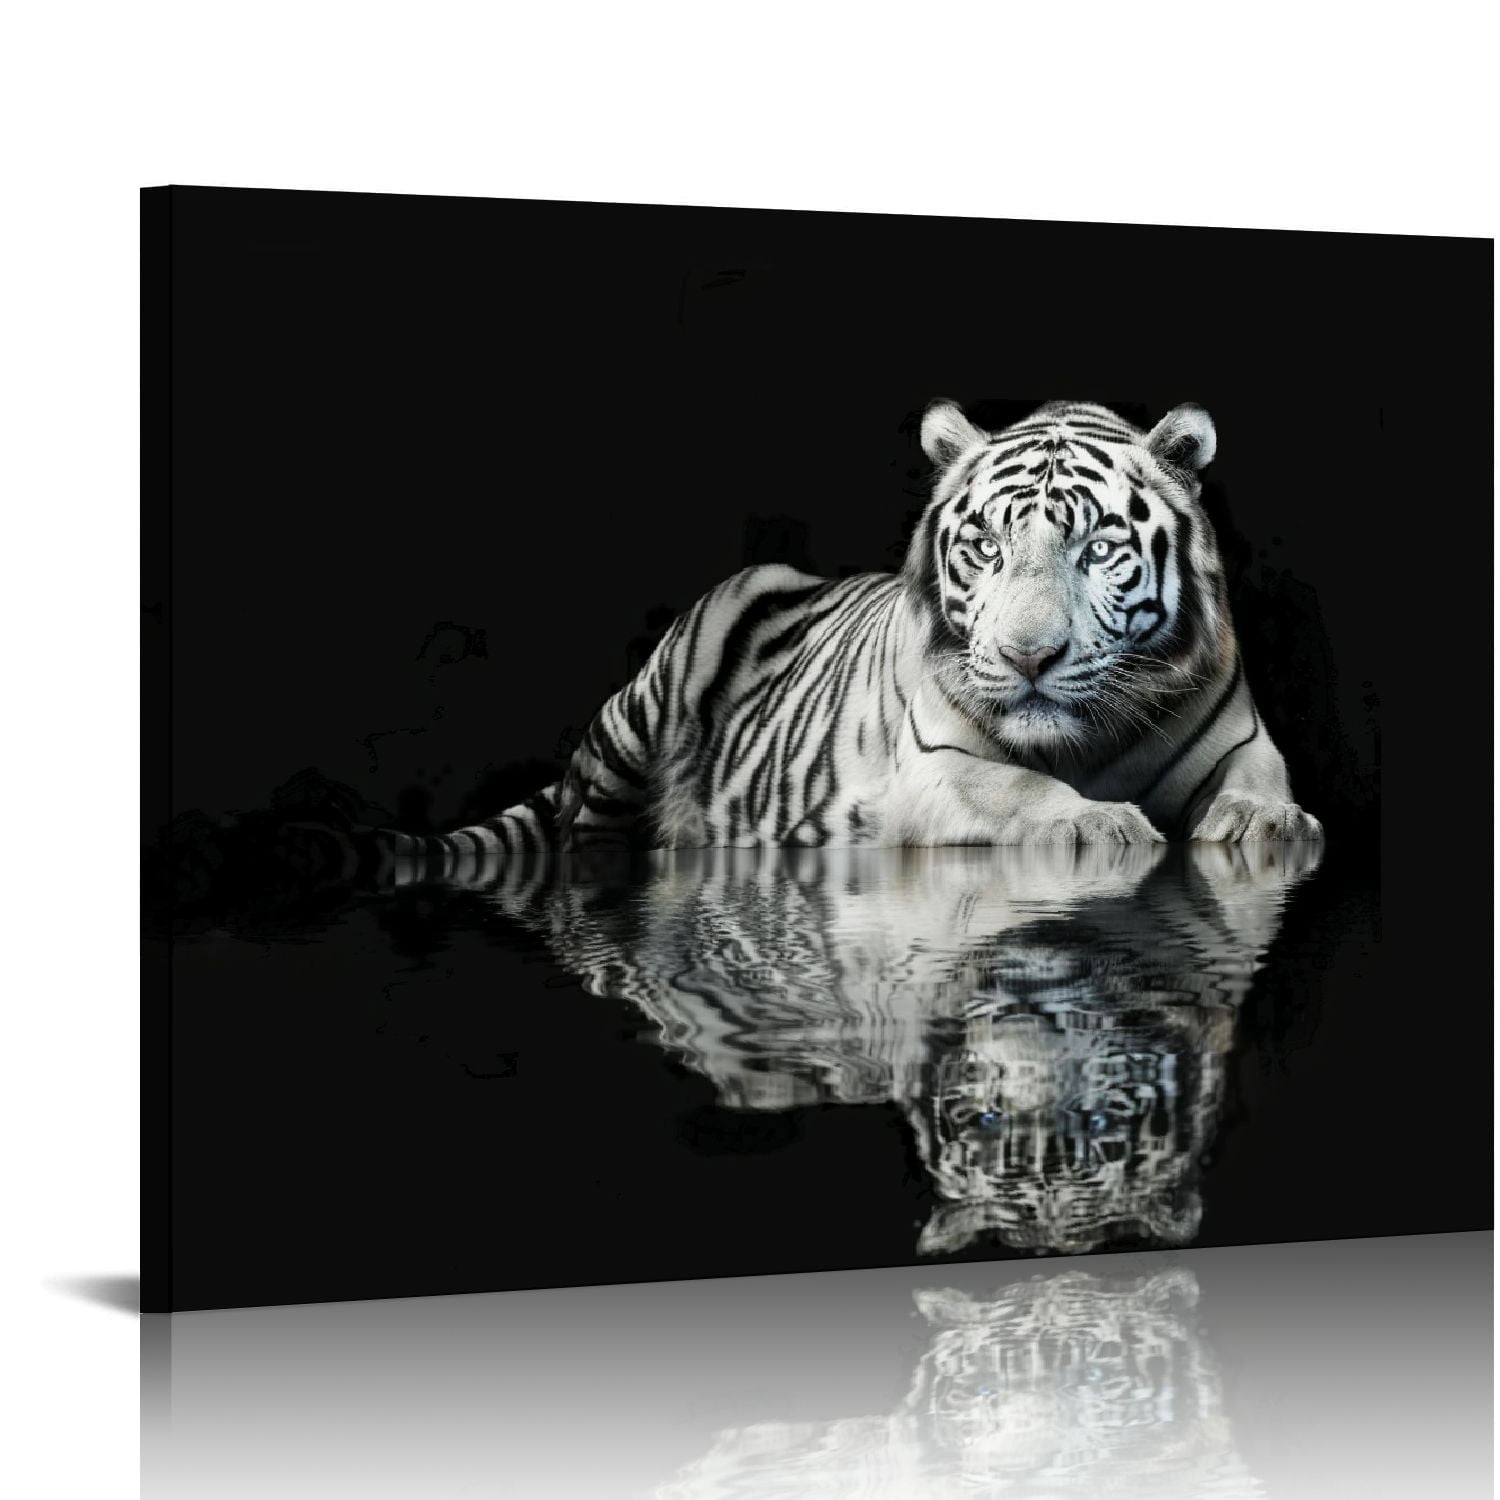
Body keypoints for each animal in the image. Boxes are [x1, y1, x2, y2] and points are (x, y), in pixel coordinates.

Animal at [372, 398, 1320, 879]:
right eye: (987, 548)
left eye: (1097, 549)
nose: (1028, 658)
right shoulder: (936, 766)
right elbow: (1017, 789)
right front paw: (1100, 824)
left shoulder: (1240, 736)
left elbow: (1257, 782)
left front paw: (1263, 819)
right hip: (639, 715)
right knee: (584, 829)